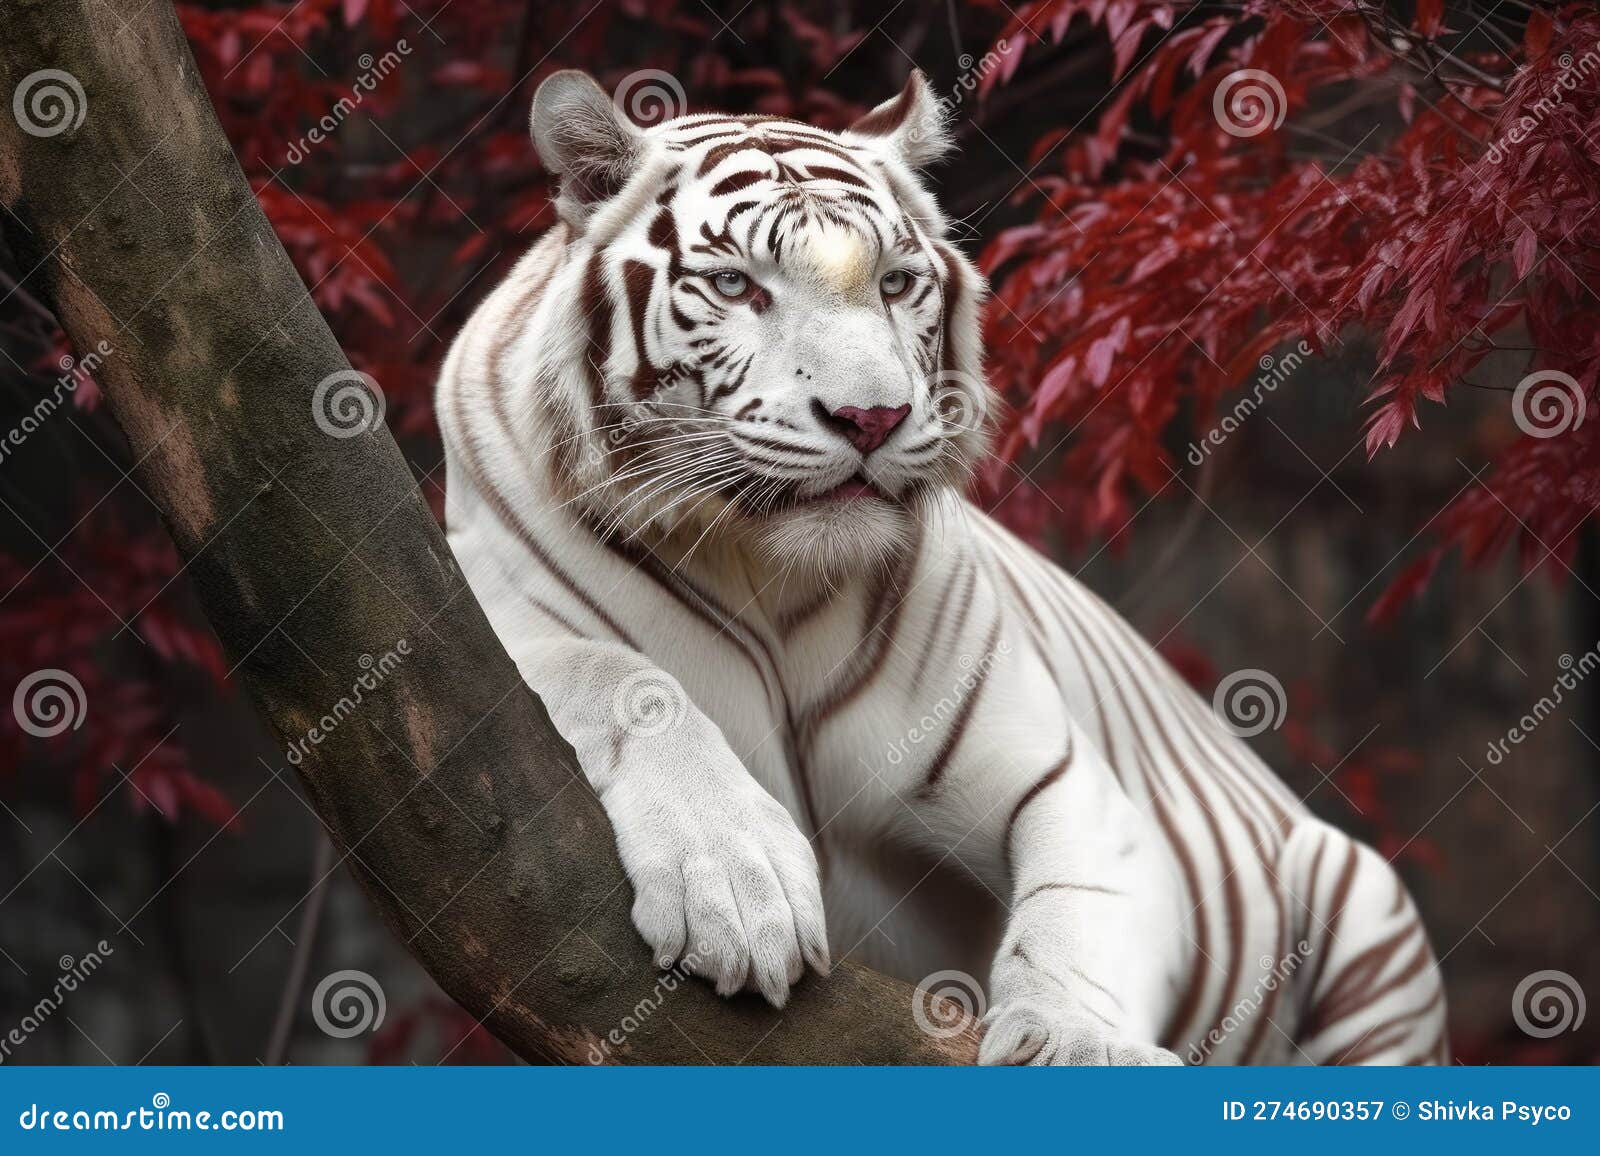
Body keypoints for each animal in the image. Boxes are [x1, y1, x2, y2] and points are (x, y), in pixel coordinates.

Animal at [434, 67, 1449, 1065]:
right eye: (734, 285)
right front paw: (736, 879)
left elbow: (1077, 912)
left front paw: (1076, 1039)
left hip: (1368, 908)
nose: (872, 417)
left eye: (894, 283)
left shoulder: (1070, 784)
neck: (765, 572)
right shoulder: (468, 614)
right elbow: (615, 674)